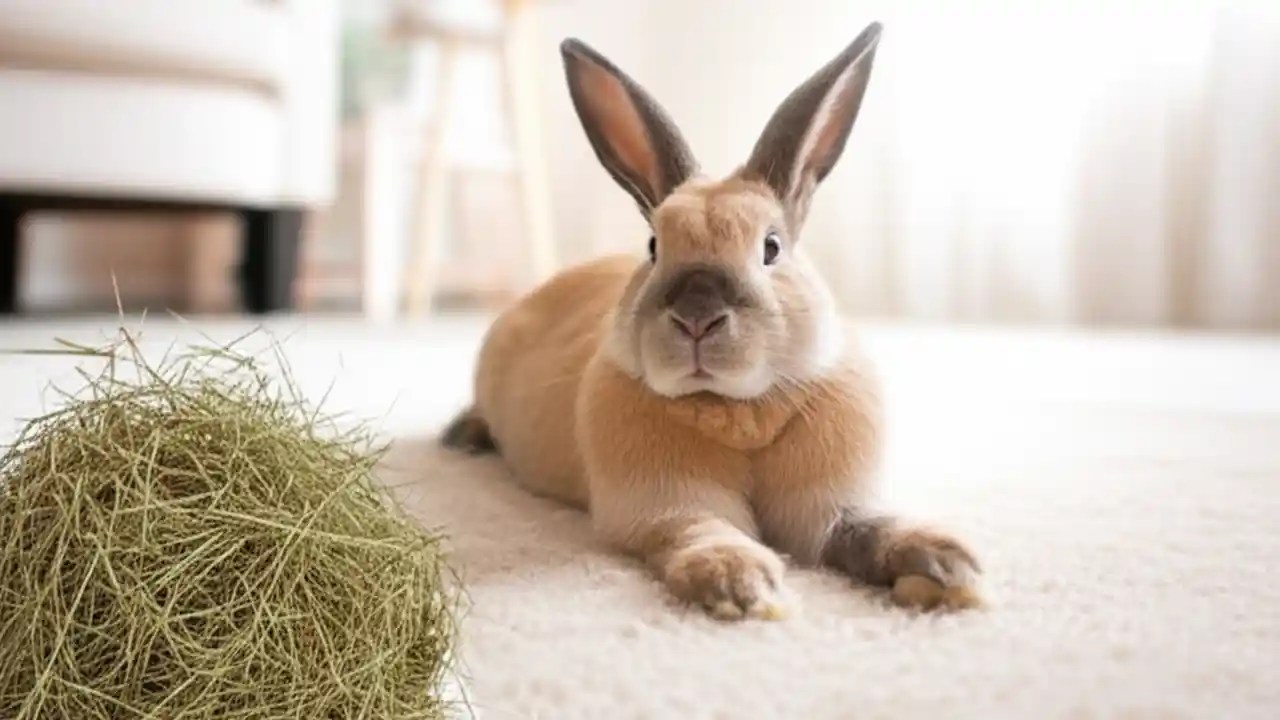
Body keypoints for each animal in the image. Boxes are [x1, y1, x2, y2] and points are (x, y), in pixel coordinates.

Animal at [442, 21, 982, 620]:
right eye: (655, 247)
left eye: (771, 248)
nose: (697, 317)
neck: (741, 410)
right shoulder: (668, 505)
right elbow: (702, 530)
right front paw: (740, 584)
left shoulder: (829, 509)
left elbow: (868, 527)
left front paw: (945, 565)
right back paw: (464, 436)